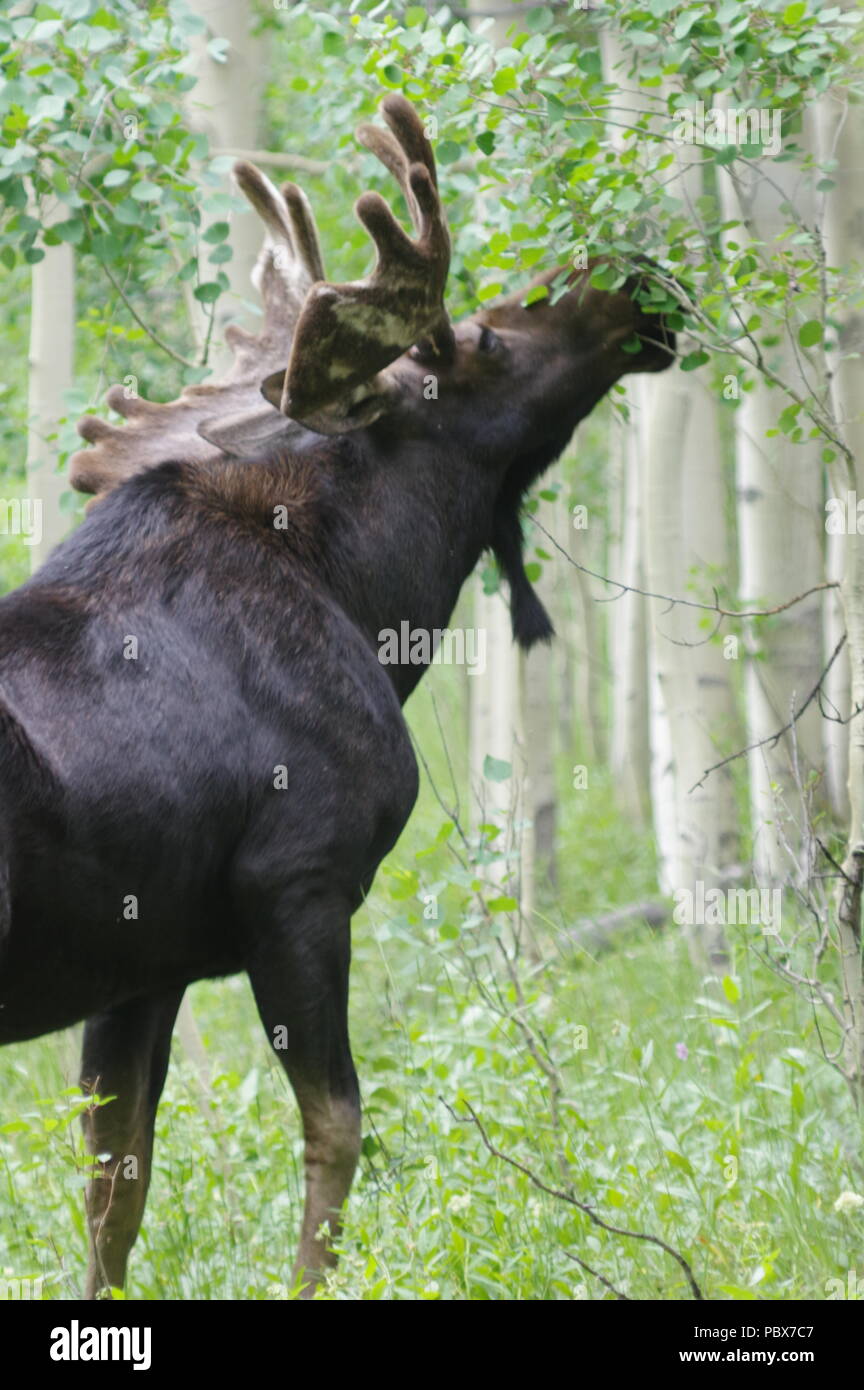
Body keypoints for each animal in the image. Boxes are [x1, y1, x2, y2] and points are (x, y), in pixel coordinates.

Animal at [0, 96, 676, 1298]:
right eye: (486, 339)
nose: (629, 280)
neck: (373, 600)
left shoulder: (139, 966)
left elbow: (114, 1189)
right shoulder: (300, 887)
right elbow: (337, 1135)